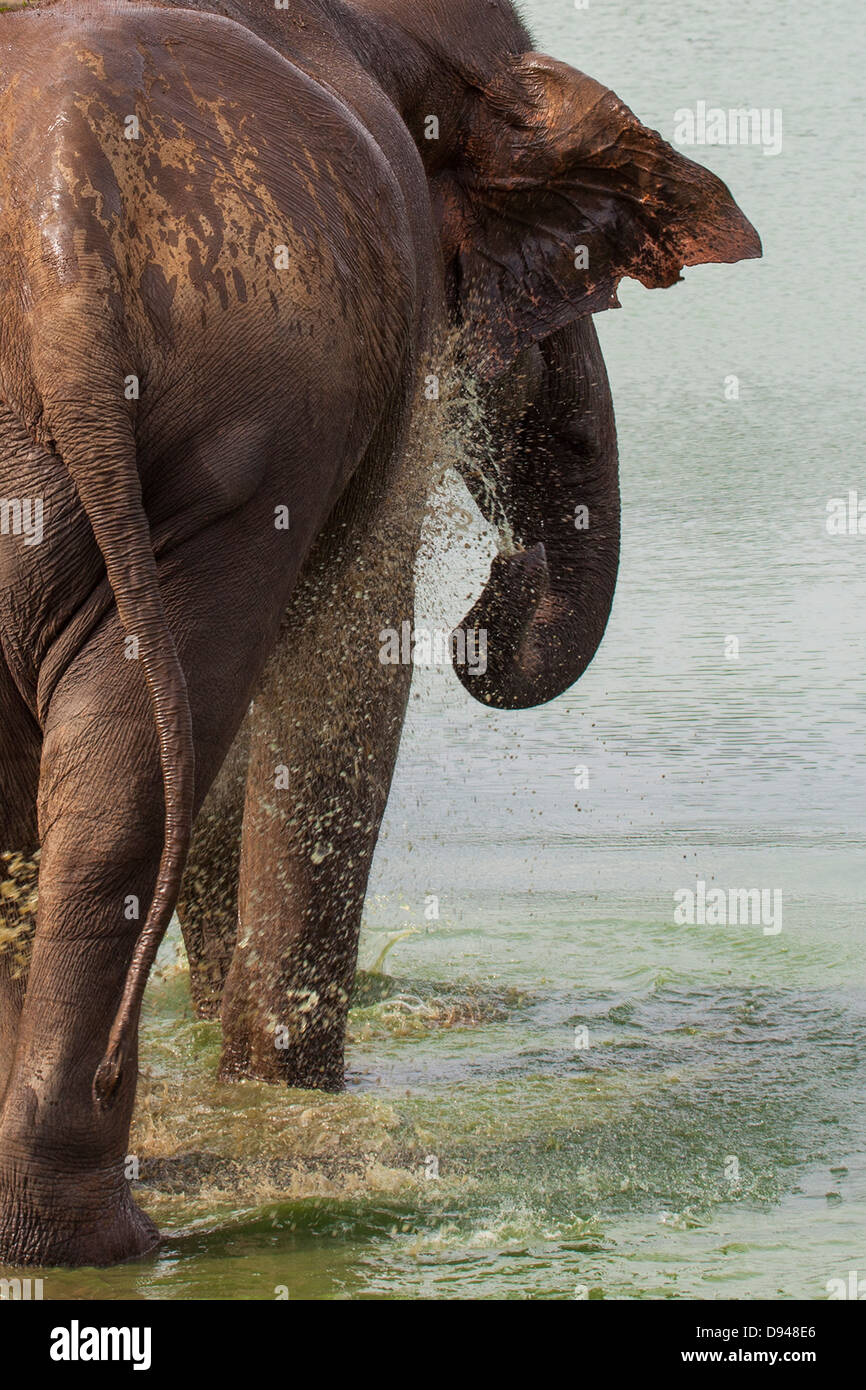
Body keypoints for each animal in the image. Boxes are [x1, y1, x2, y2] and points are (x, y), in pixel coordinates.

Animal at [0, 0, 760, 1266]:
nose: (492, 606)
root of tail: (63, 260)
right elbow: (350, 671)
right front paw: (283, 1098)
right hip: (261, 386)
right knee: (138, 767)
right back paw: (100, 1234)